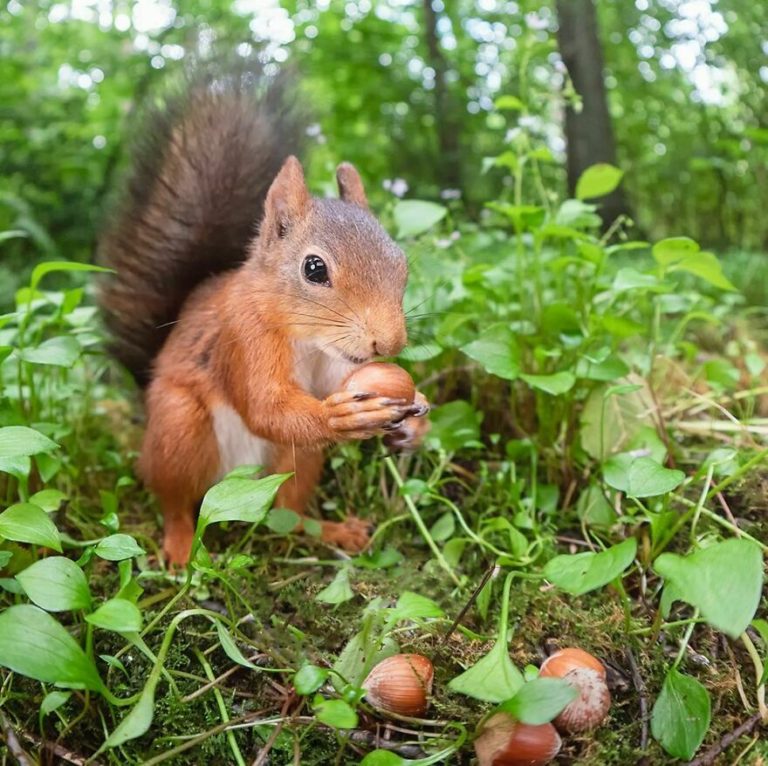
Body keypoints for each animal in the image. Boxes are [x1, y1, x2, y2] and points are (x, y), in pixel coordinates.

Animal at [98, 61, 430, 565]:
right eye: (314, 268)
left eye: (402, 262)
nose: (387, 343)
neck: (306, 339)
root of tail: (235, 489)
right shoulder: (243, 335)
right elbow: (265, 405)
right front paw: (340, 419)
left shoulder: (337, 364)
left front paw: (416, 420)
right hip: (178, 428)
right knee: (174, 499)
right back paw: (179, 546)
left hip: (296, 460)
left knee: (287, 514)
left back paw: (330, 531)